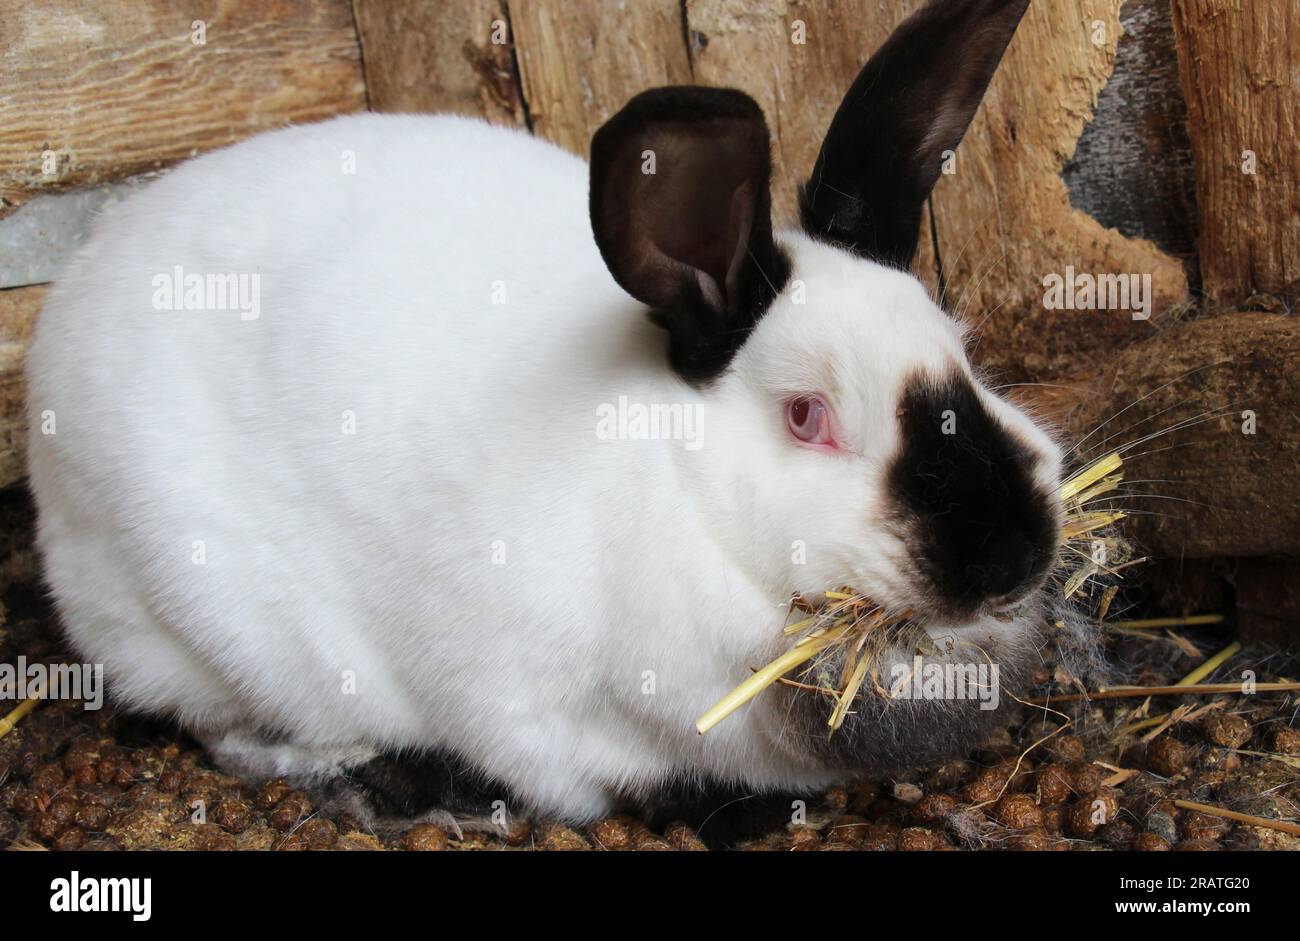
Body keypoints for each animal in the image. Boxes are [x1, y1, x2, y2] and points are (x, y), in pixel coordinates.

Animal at [26, 0, 1060, 827]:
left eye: (962, 351)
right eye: (807, 415)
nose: (1015, 550)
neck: (687, 493)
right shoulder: (530, 716)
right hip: (195, 629)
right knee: (231, 728)